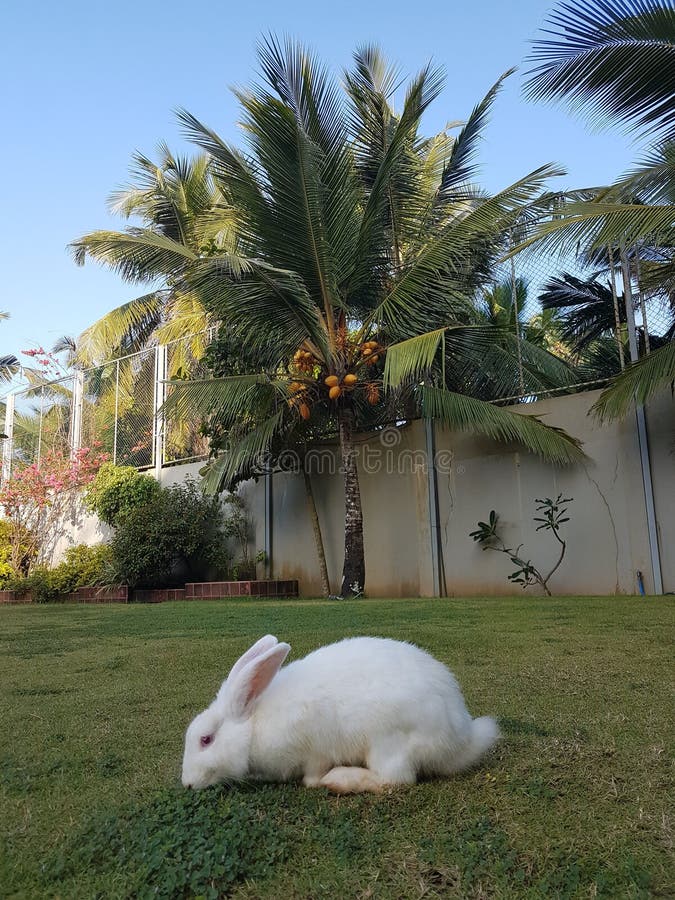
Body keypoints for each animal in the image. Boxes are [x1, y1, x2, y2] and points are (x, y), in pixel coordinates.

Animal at [181, 634, 499, 794]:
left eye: (206, 740)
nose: (187, 783)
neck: (253, 726)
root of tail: (461, 740)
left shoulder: (314, 749)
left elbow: (311, 777)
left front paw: (318, 781)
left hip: (389, 742)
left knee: (396, 779)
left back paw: (341, 780)